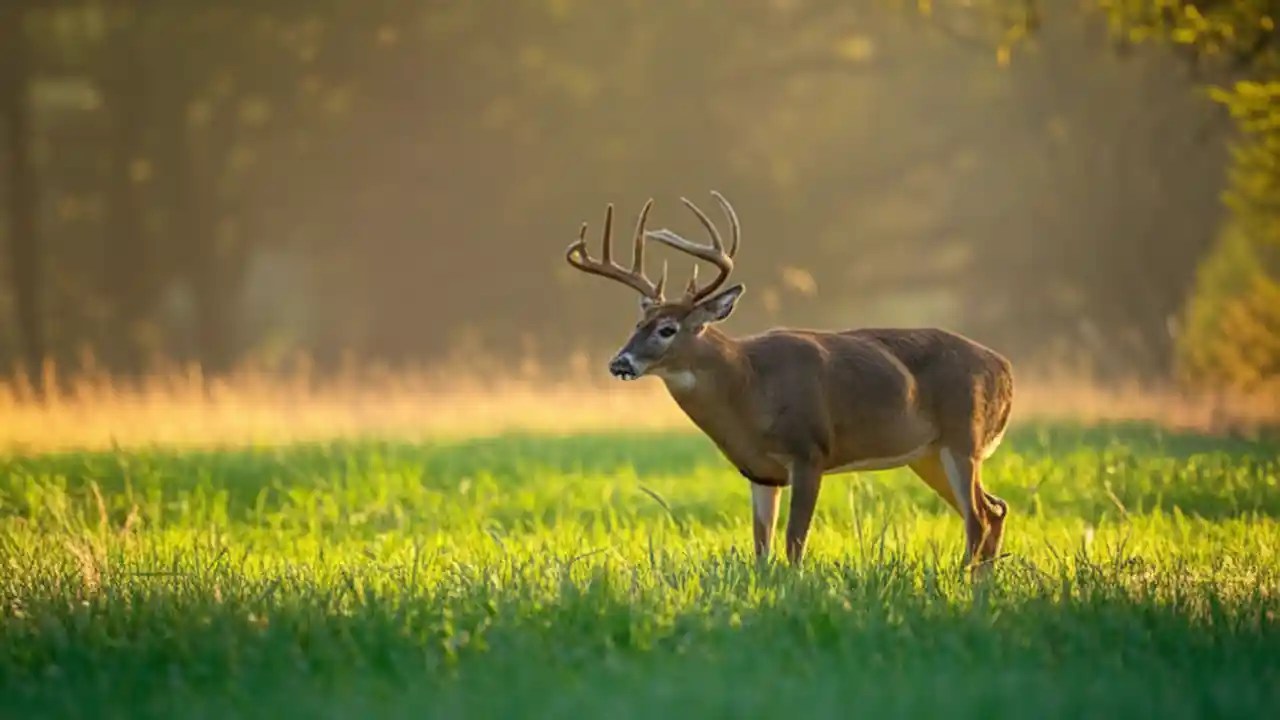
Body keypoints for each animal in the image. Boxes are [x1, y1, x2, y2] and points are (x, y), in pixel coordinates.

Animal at [563, 192, 1014, 573]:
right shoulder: (759, 471)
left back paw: (962, 583)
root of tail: (1004, 369)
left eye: (667, 329)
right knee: (995, 510)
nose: (619, 362)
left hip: (963, 438)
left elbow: (795, 543)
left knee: (978, 517)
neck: (748, 387)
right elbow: (761, 548)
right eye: (637, 324)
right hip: (927, 454)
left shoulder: (810, 451)